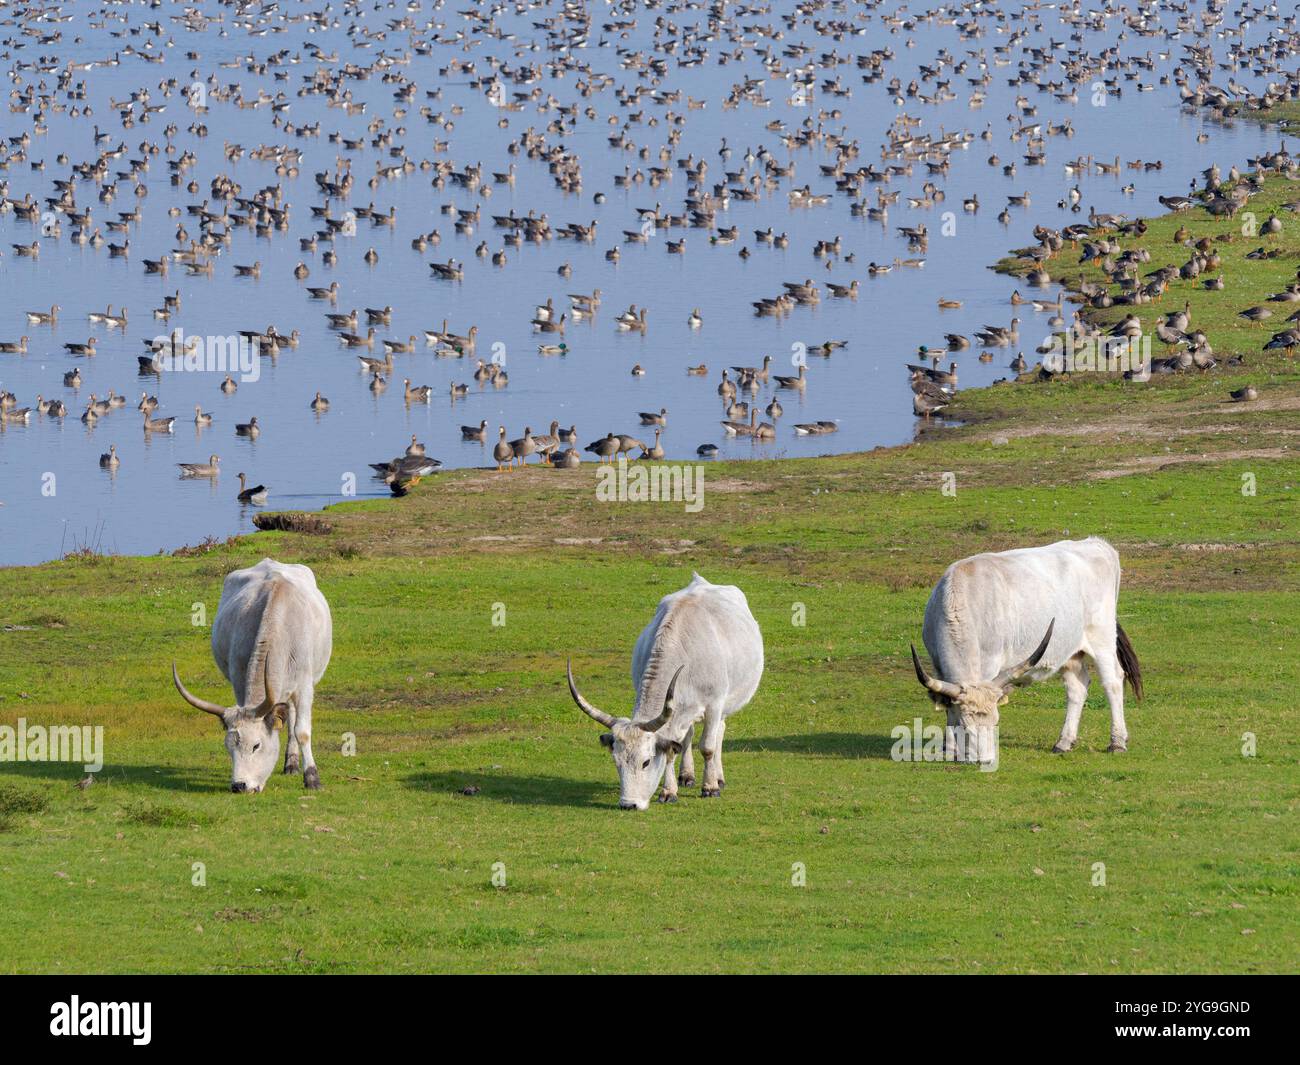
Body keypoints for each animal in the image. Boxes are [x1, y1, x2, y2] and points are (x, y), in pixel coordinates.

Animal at [172, 559, 333, 792]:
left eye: (257, 745)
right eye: (228, 747)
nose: (239, 785)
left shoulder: (304, 686)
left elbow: (302, 731)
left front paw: (312, 778)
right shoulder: (239, 681)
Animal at [566, 573, 764, 810]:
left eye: (646, 762)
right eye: (616, 762)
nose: (628, 804)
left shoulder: (714, 704)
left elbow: (707, 746)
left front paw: (710, 787)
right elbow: (671, 751)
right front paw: (669, 791)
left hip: (725, 703)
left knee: (719, 733)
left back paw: (718, 777)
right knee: (687, 737)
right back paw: (687, 775)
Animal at [910, 537, 1141, 761]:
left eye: (995, 722)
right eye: (965, 726)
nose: (984, 759)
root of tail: (1097, 544)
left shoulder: (990, 664)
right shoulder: (938, 666)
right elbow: (949, 708)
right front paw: (949, 749)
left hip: (1102, 639)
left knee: (1113, 681)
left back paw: (1117, 741)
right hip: (1069, 651)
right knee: (1077, 687)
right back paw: (1064, 742)